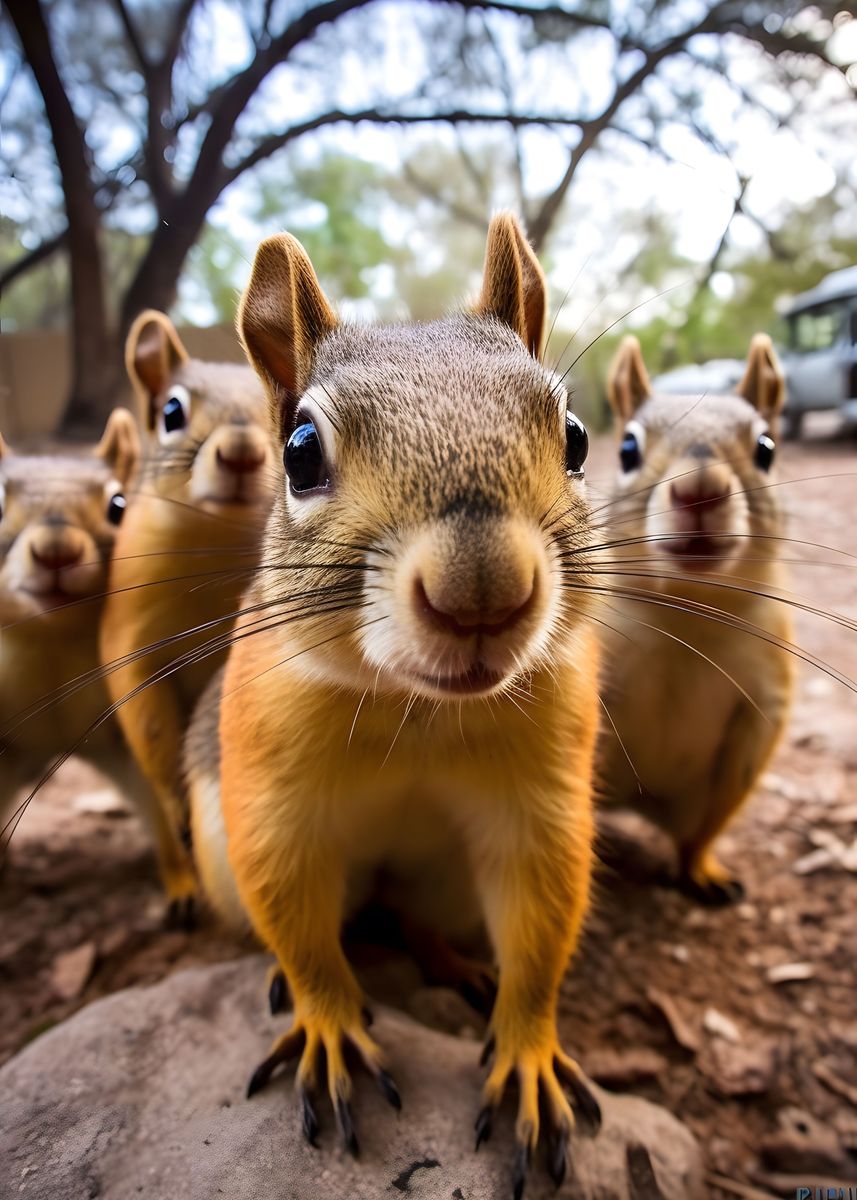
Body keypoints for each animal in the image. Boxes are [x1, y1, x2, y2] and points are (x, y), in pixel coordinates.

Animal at [99, 313, 275, 921]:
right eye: (171, 412)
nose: (242, 453)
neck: (214, 544)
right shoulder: (128, 635)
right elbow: (147, 718)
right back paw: (182, 885)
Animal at [184, 213, 603, 1197]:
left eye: (574, 435)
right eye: (299, 451)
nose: (481, 591)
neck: (418, 712)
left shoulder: (542, 806)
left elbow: (540, 927)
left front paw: (527, 1051)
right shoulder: (270, 801)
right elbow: (297, 919)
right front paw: (327, 1022)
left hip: (443, 882)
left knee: (416, 921)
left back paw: (457, 964)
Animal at [596, 333, 795, 904]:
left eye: (767, 449)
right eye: (627, 449)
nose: (700, 487)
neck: (687, 614)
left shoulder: (762, 709)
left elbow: (711, 823)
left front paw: (700, 868)